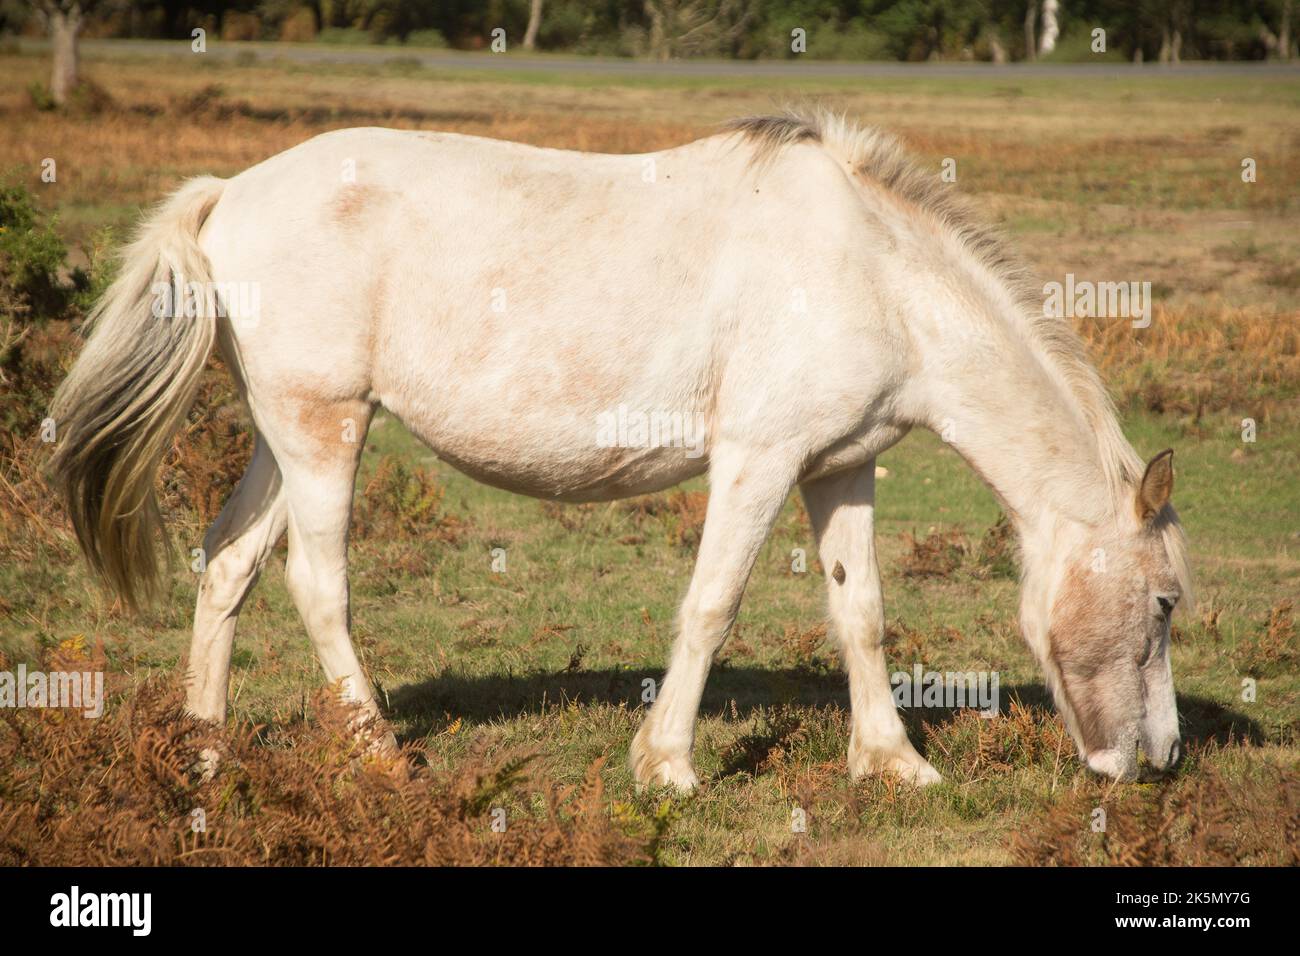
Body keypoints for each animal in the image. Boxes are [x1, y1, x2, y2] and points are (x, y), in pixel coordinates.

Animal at [49, 110, 1191, 790]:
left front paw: (893, 762)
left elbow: (859, 612)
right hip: (324, 431)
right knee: (316, 584)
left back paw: (204, 751)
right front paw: (667, 766)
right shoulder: (758, 460)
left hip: (287, 438)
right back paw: (380, 754)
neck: (875, 269)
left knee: (229, 563)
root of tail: (228, 195)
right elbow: (711, 606)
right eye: (1165, 602)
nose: (1158, 757)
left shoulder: (840, 466)